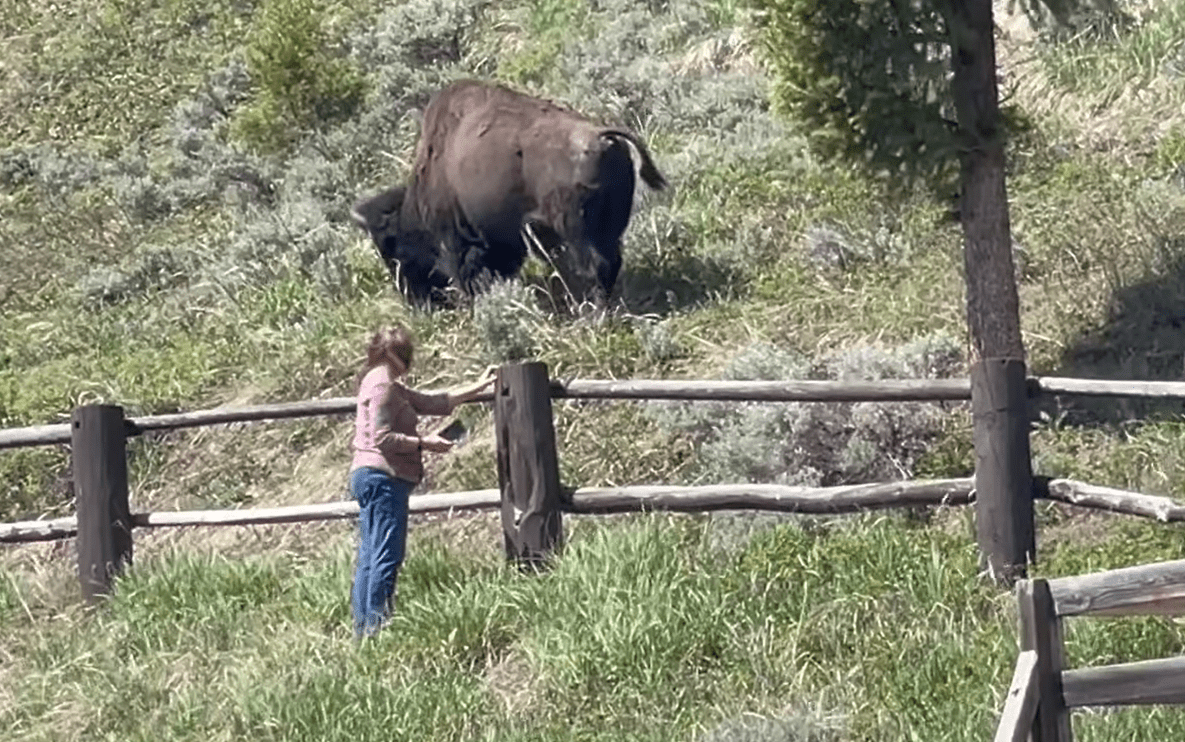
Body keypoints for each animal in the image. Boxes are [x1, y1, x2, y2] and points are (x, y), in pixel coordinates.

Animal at [351, 79, 668, 308]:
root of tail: (603, 137)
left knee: (595, 267)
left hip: (576, 230)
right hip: (606, 228)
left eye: (390, 246)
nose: (413, 300)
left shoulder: (457, 239)